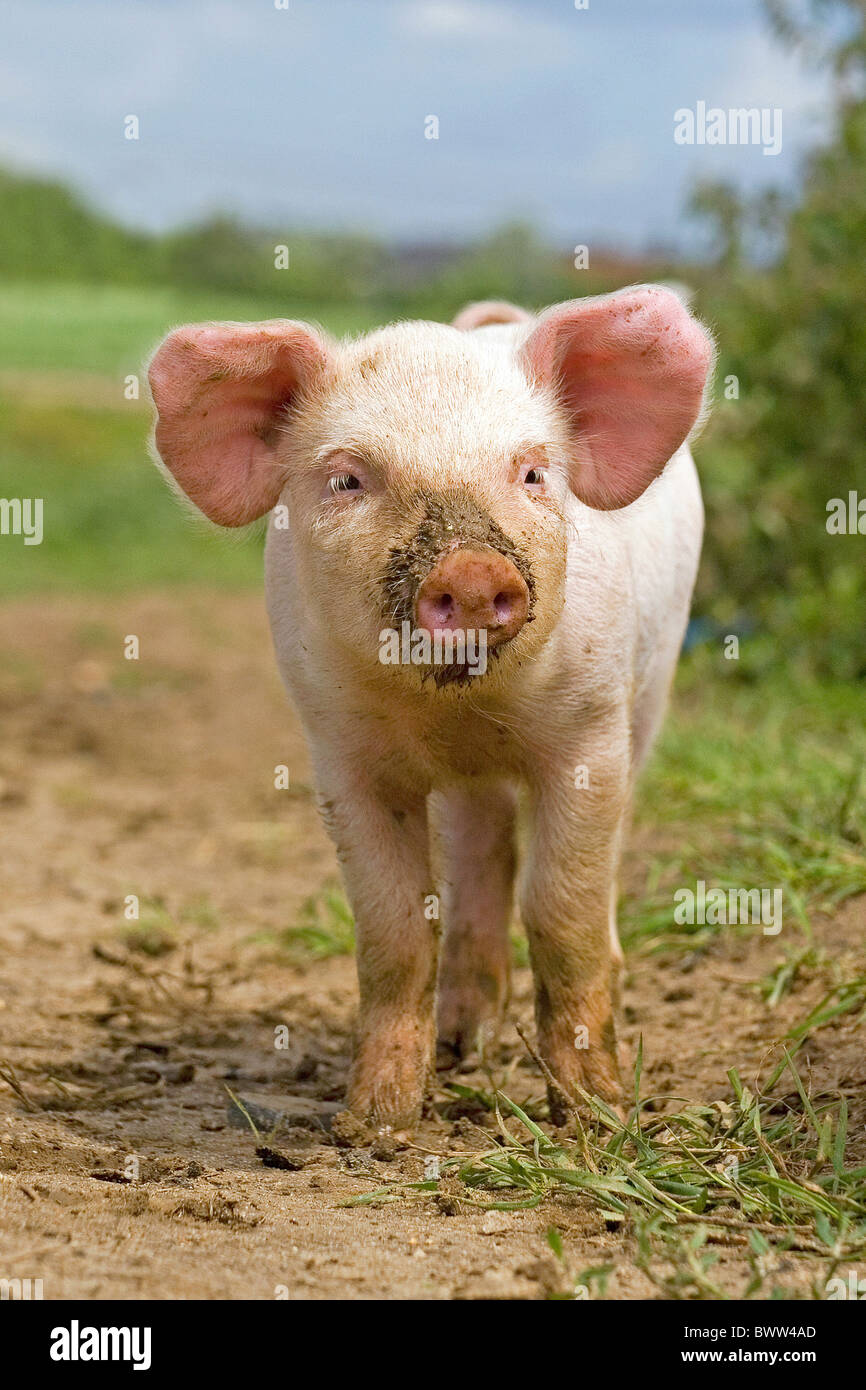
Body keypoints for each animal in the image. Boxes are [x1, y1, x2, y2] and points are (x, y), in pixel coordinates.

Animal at [148, 285, 713, 1130]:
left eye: (533, 472)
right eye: (348, 480)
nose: (473, 572)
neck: (462, 712)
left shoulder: (591, 731)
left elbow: (562, 912)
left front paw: (597, 1114)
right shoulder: (340, 755)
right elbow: (395, 930)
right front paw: (374, 1123)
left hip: (654, 683)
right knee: (482, 853)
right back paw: (458, 1047)